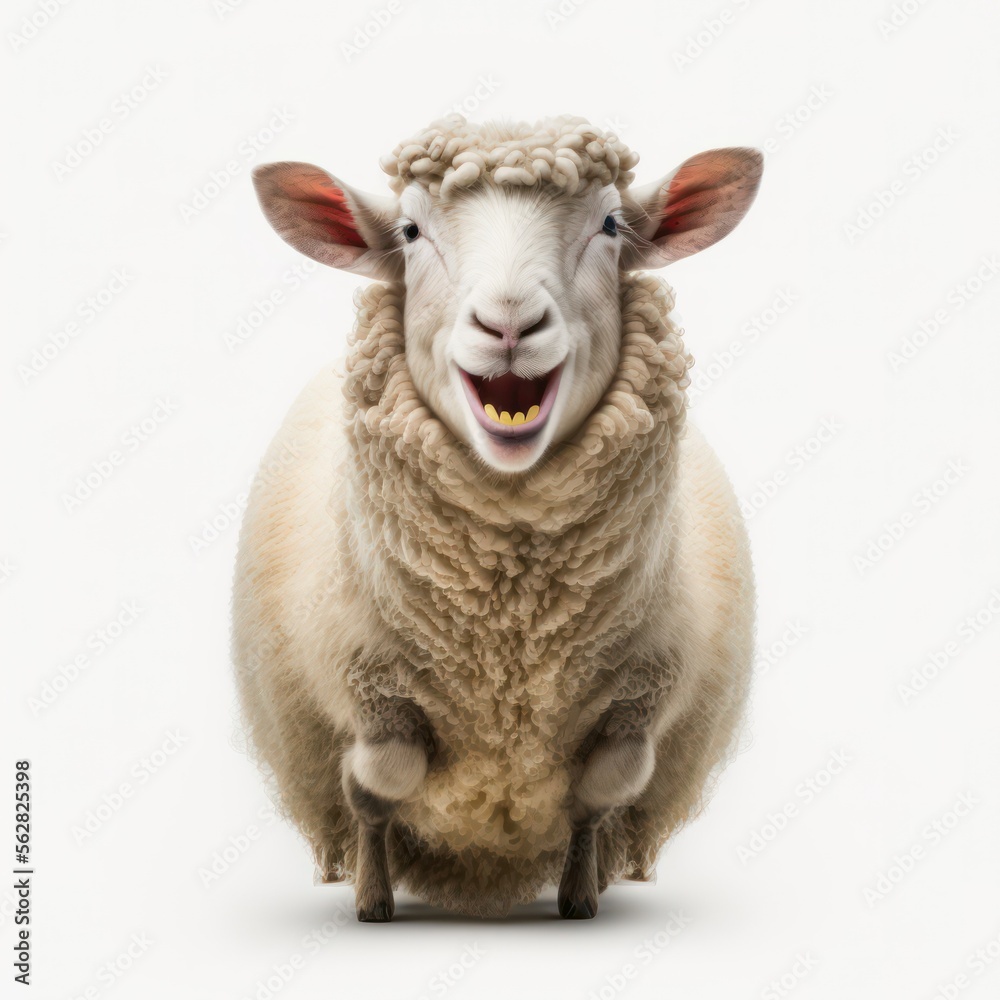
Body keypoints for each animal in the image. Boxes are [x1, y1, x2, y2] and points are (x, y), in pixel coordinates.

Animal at [233, 114, 762, 921]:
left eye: (611, 225)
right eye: (410, 232)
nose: (508, 324)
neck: (511, 639)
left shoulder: (638, 701)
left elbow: (602, 791)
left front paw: (580, 894)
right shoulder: (368, 687)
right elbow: (379, 781)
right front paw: (372, 894)